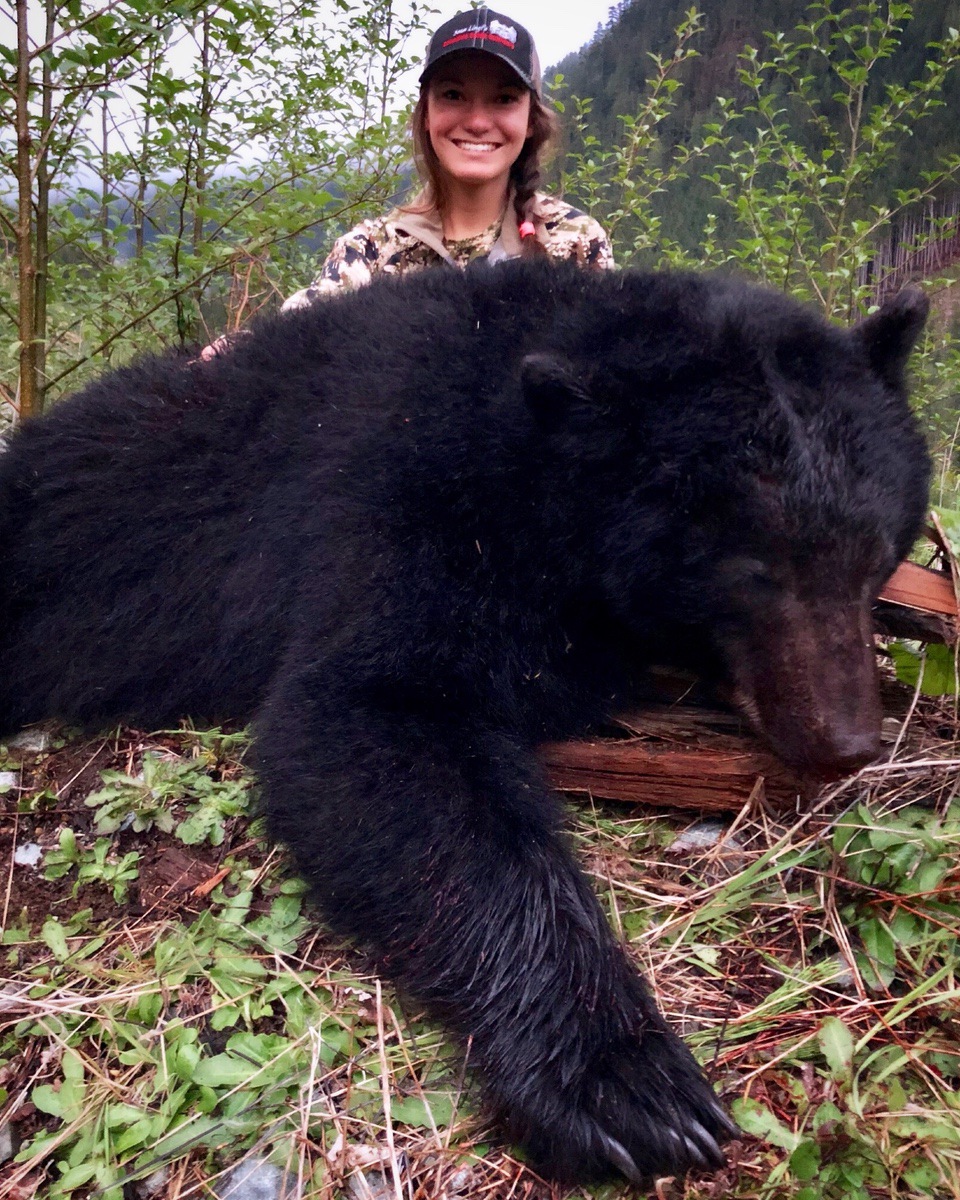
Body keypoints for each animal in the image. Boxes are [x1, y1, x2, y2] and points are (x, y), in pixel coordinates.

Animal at [0, 262, 930, 1185]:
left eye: (875, 549)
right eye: (751, 568)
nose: (844, 743)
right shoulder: (408, 489)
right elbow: (364, 722)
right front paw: (625, 1082)